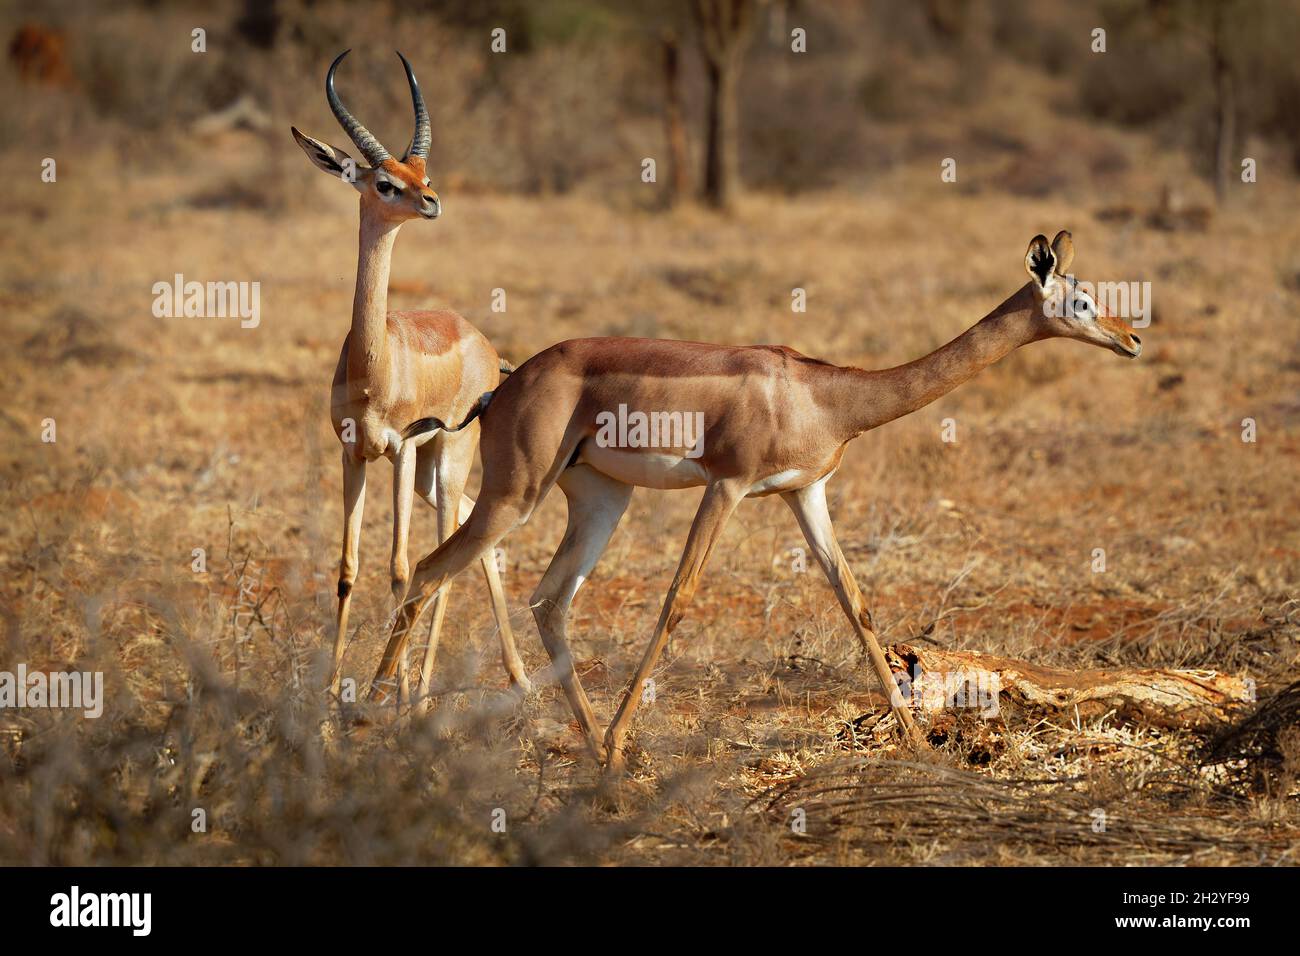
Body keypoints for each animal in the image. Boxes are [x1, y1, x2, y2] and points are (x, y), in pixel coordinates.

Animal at [291, 50, 530, 698]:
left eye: (421, 169)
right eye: (385, 180)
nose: (432, 201)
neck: (372, 366)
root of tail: (486, 346)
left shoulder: (397, 450)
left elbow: (399, 570)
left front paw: (387, 692)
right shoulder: (352, 453)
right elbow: (347, 569)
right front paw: (329, 694)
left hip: (444, 462)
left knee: (443, 556)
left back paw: (417, 693)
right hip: (430, 474)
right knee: (475, 537)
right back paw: (518, 679)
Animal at [372, 231, 1142, 770]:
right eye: (1078, 299)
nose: (1132, 337)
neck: (826, 395)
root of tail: (502, 385)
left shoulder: (806, 493)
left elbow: (856, 604)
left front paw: (924, 749)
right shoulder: (728, 485)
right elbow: (678, 599)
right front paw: (624, 737)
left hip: (601, 501)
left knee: (549, 600)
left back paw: (590, 748)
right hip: (514, 495)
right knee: (430, 571)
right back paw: (375, 715)